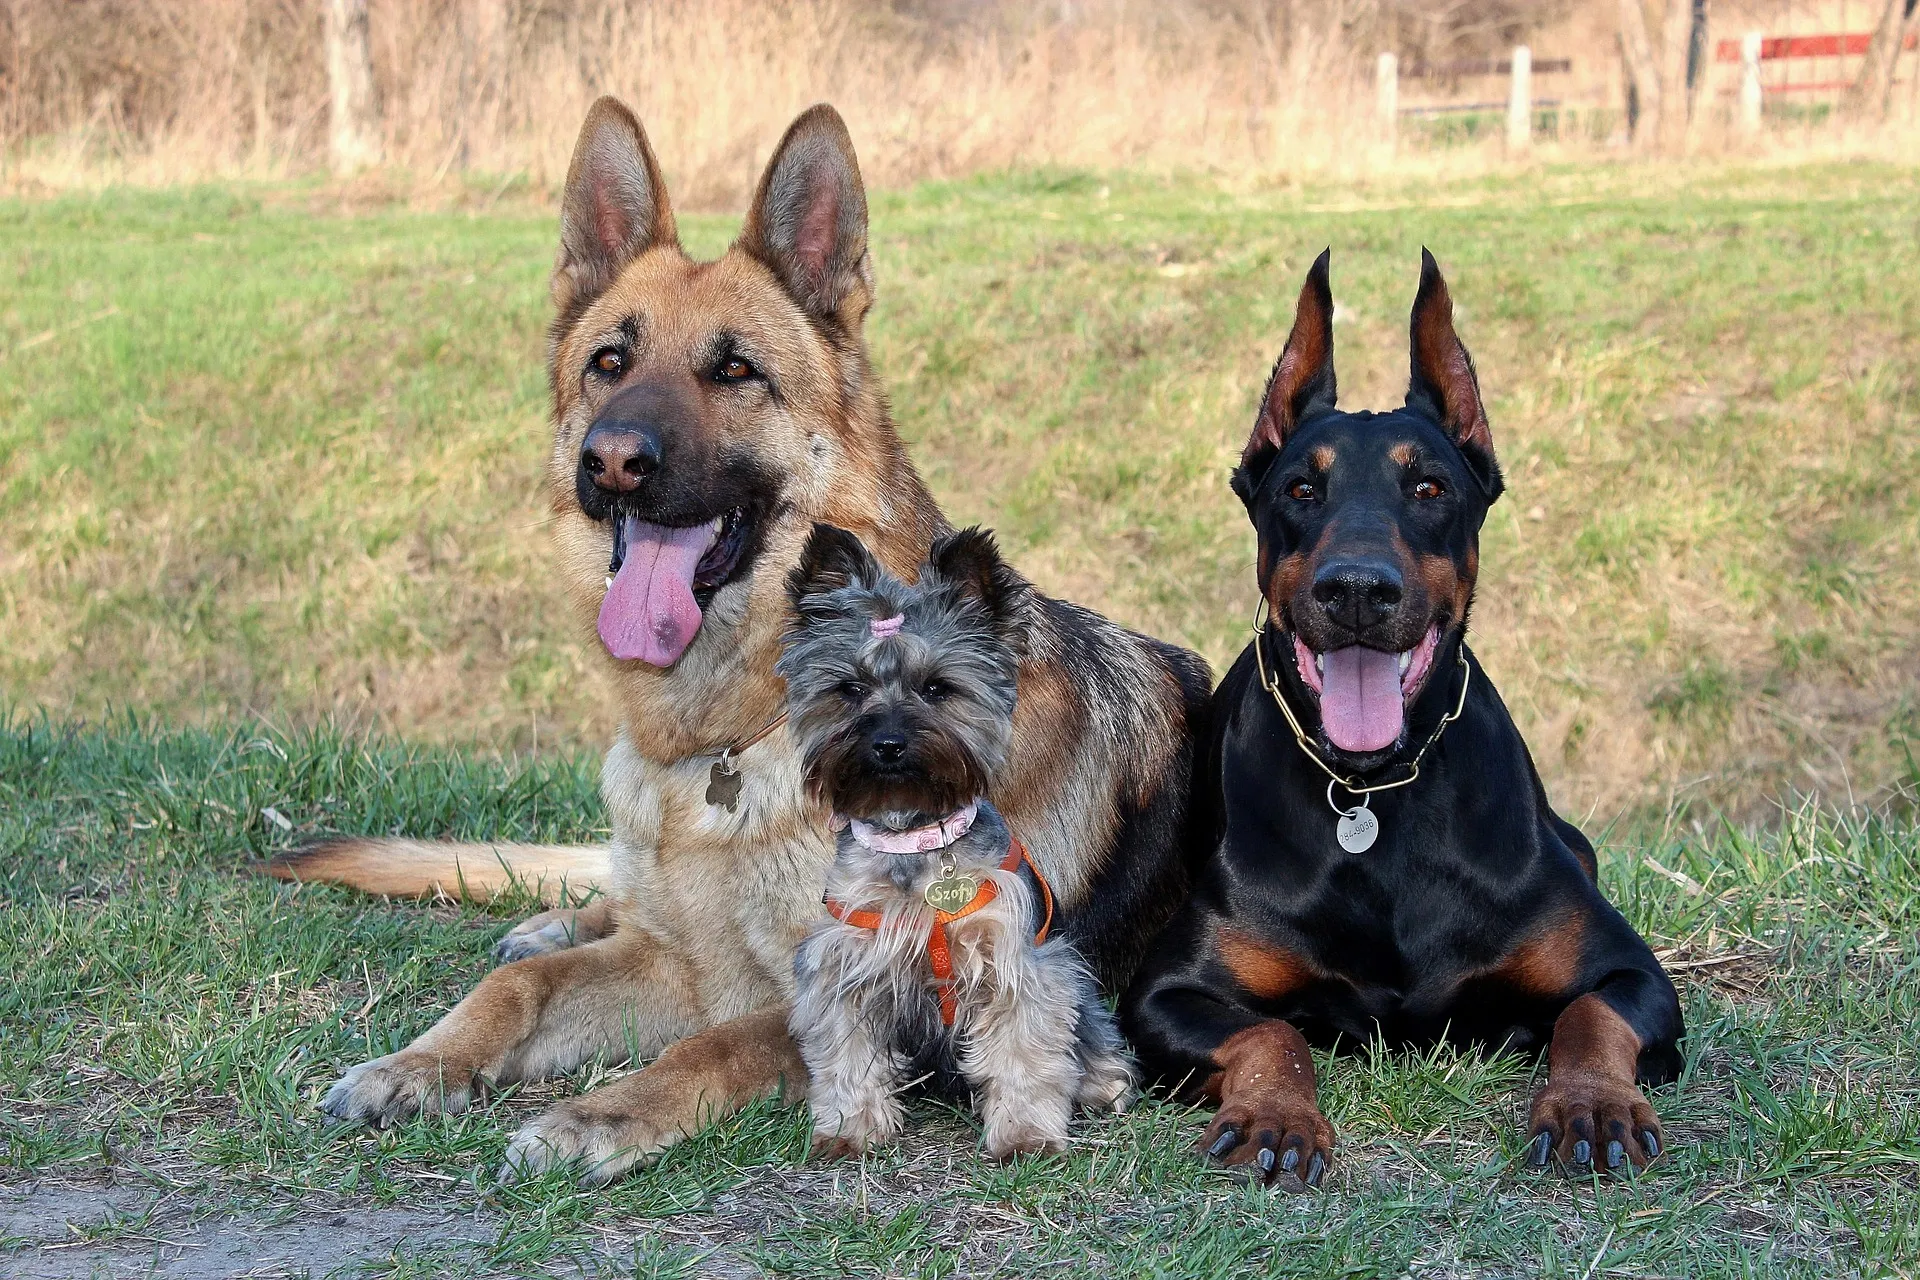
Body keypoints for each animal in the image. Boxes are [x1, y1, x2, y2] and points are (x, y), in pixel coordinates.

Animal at [775, 521, 1128, 1159]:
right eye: (849, 689)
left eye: (937, 688)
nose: (887, 743)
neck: (917, 843)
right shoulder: (842, 965)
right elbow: (846, 1057)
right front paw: (850, 1130)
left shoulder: (1018, 964)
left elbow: (1024, 1054)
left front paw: (1025, 1136)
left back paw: (1102, 1085)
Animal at [1121, 253, 1681, 1189]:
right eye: (1301, 487)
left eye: (1429, 486)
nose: (1356, 588)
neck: (1375, 792)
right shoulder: (1164, 994)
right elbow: (1271, 1033)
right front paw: (1276, 1116)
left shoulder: (1630, 972)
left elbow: (1590, 1017)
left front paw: (1591, 1104)